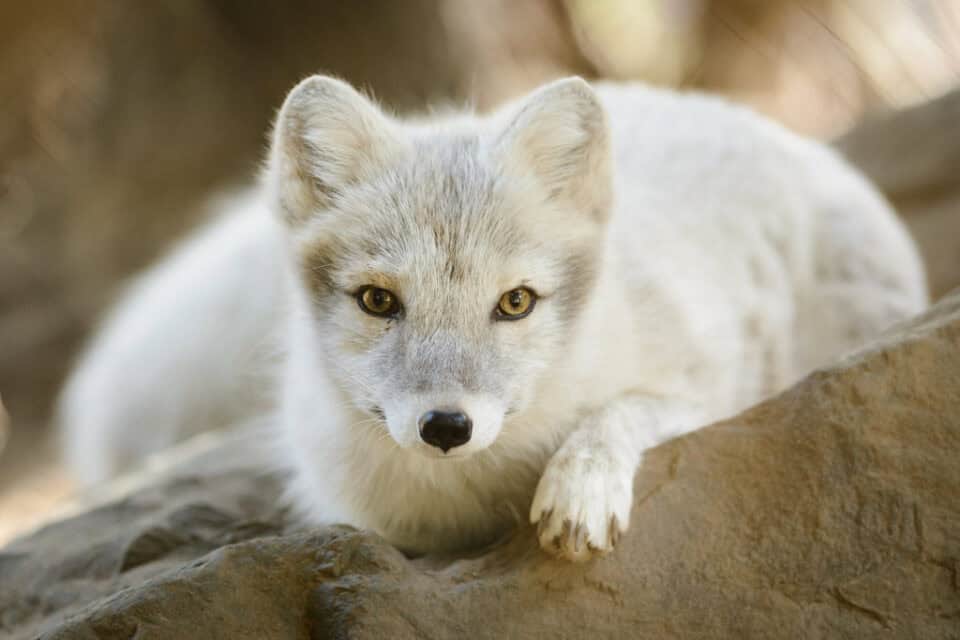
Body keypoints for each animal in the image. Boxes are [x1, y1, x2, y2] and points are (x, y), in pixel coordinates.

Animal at [59, 75, 927, 561]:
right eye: (378, 301)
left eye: (515, 302)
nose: (447, 427)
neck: (475, 499)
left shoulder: (717, 385)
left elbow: (621, 412)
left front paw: (579, 491)